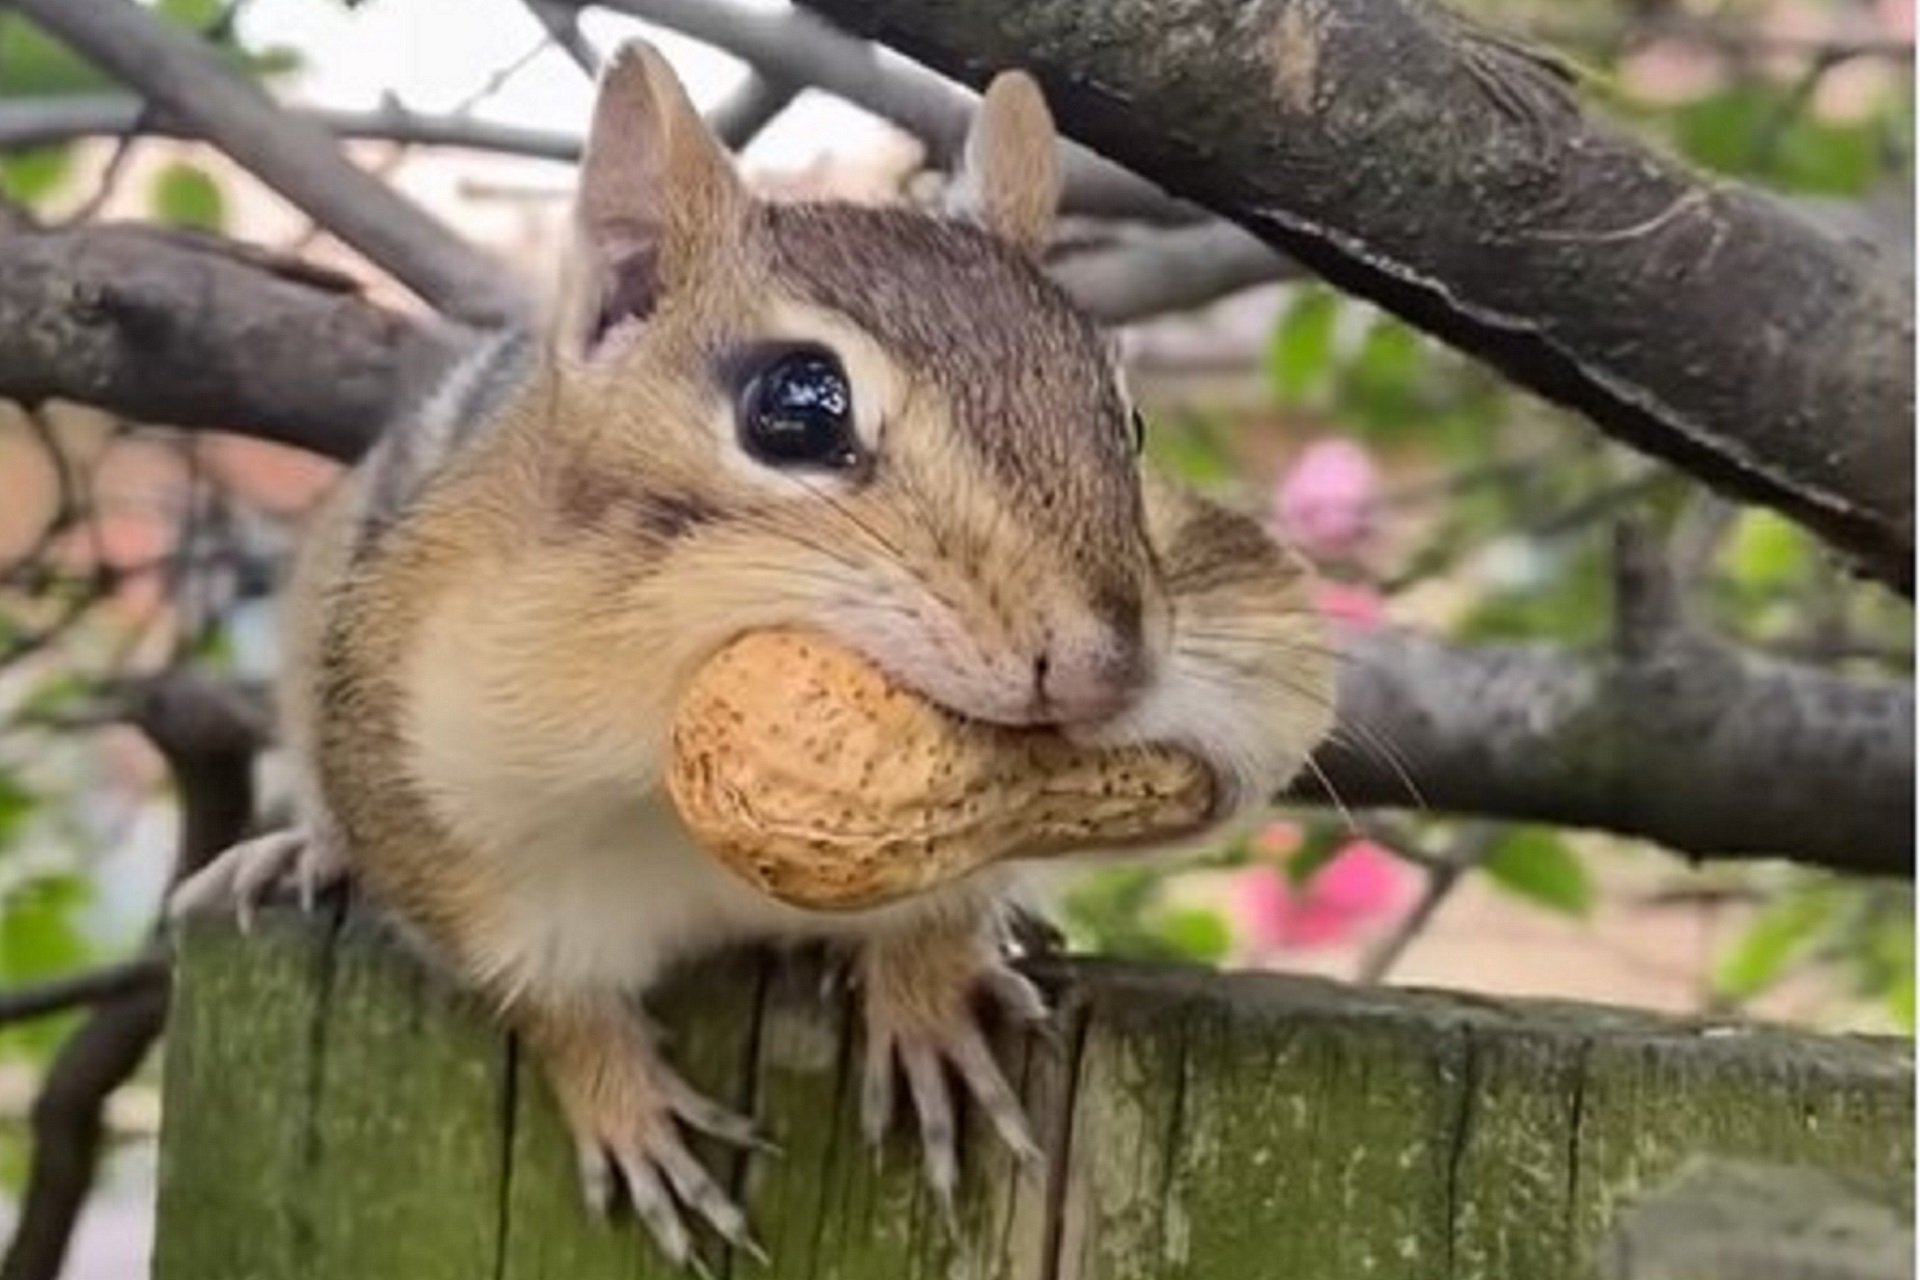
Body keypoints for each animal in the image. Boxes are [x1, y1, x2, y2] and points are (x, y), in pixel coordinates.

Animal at [169, 41, 1337, 1268]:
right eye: (798, 405)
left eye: (1132, 424)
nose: (1106, 665)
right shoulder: (422, 773)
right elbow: (536, 989)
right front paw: (626, 1109)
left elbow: (949, 893)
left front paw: (930, 1002)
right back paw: (292, 856)